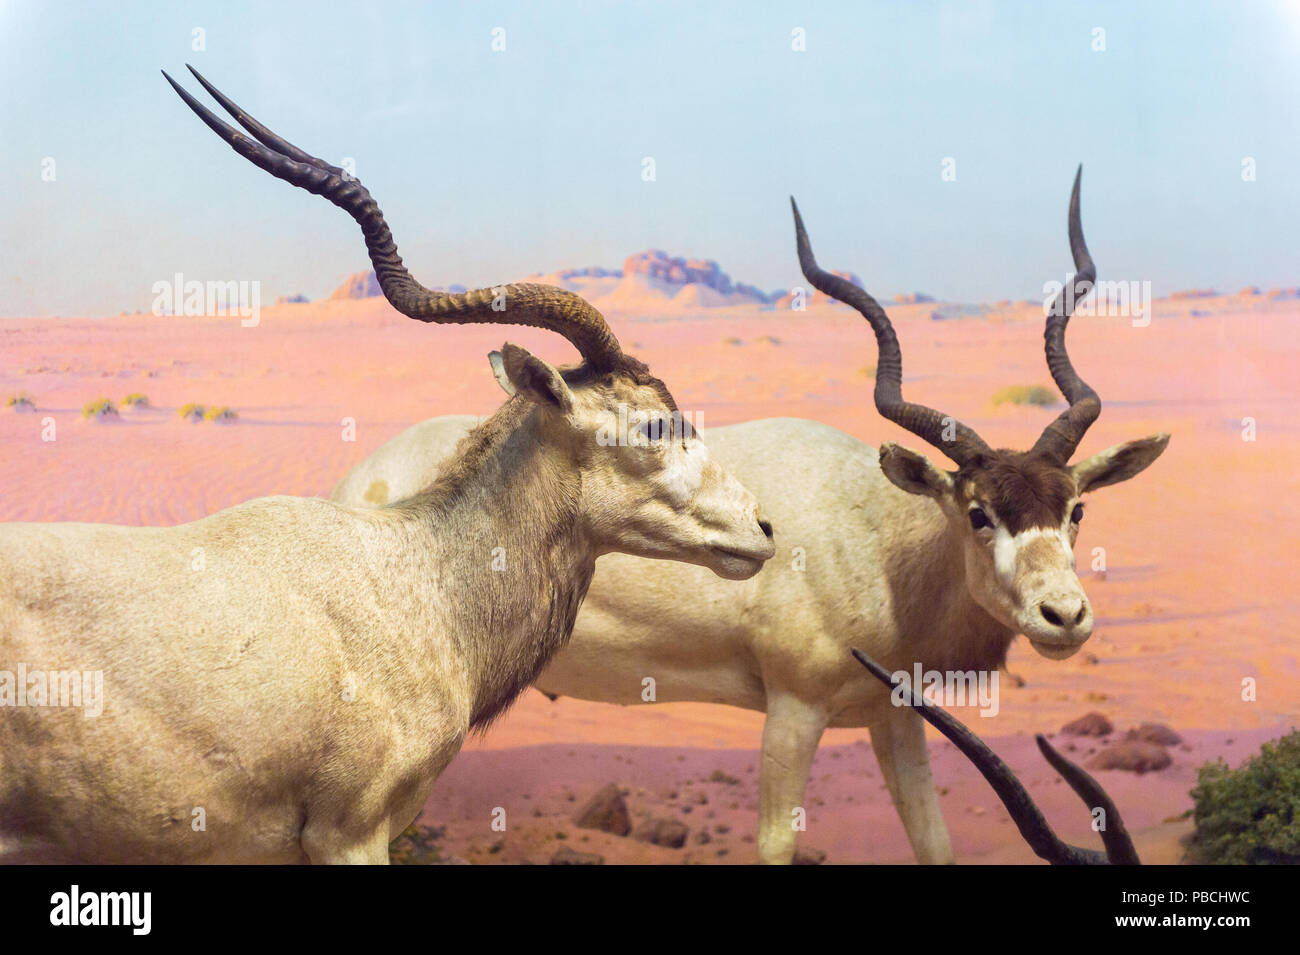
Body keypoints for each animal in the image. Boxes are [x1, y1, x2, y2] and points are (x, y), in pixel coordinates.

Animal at [332, 169, 1169, 863]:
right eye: (978, 512)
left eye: (1076, 507)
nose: (1064, 615)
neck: (879, 540)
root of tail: (361, 479)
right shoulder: (794, 711)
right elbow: (774, 847)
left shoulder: (896, 714)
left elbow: (933, 842)